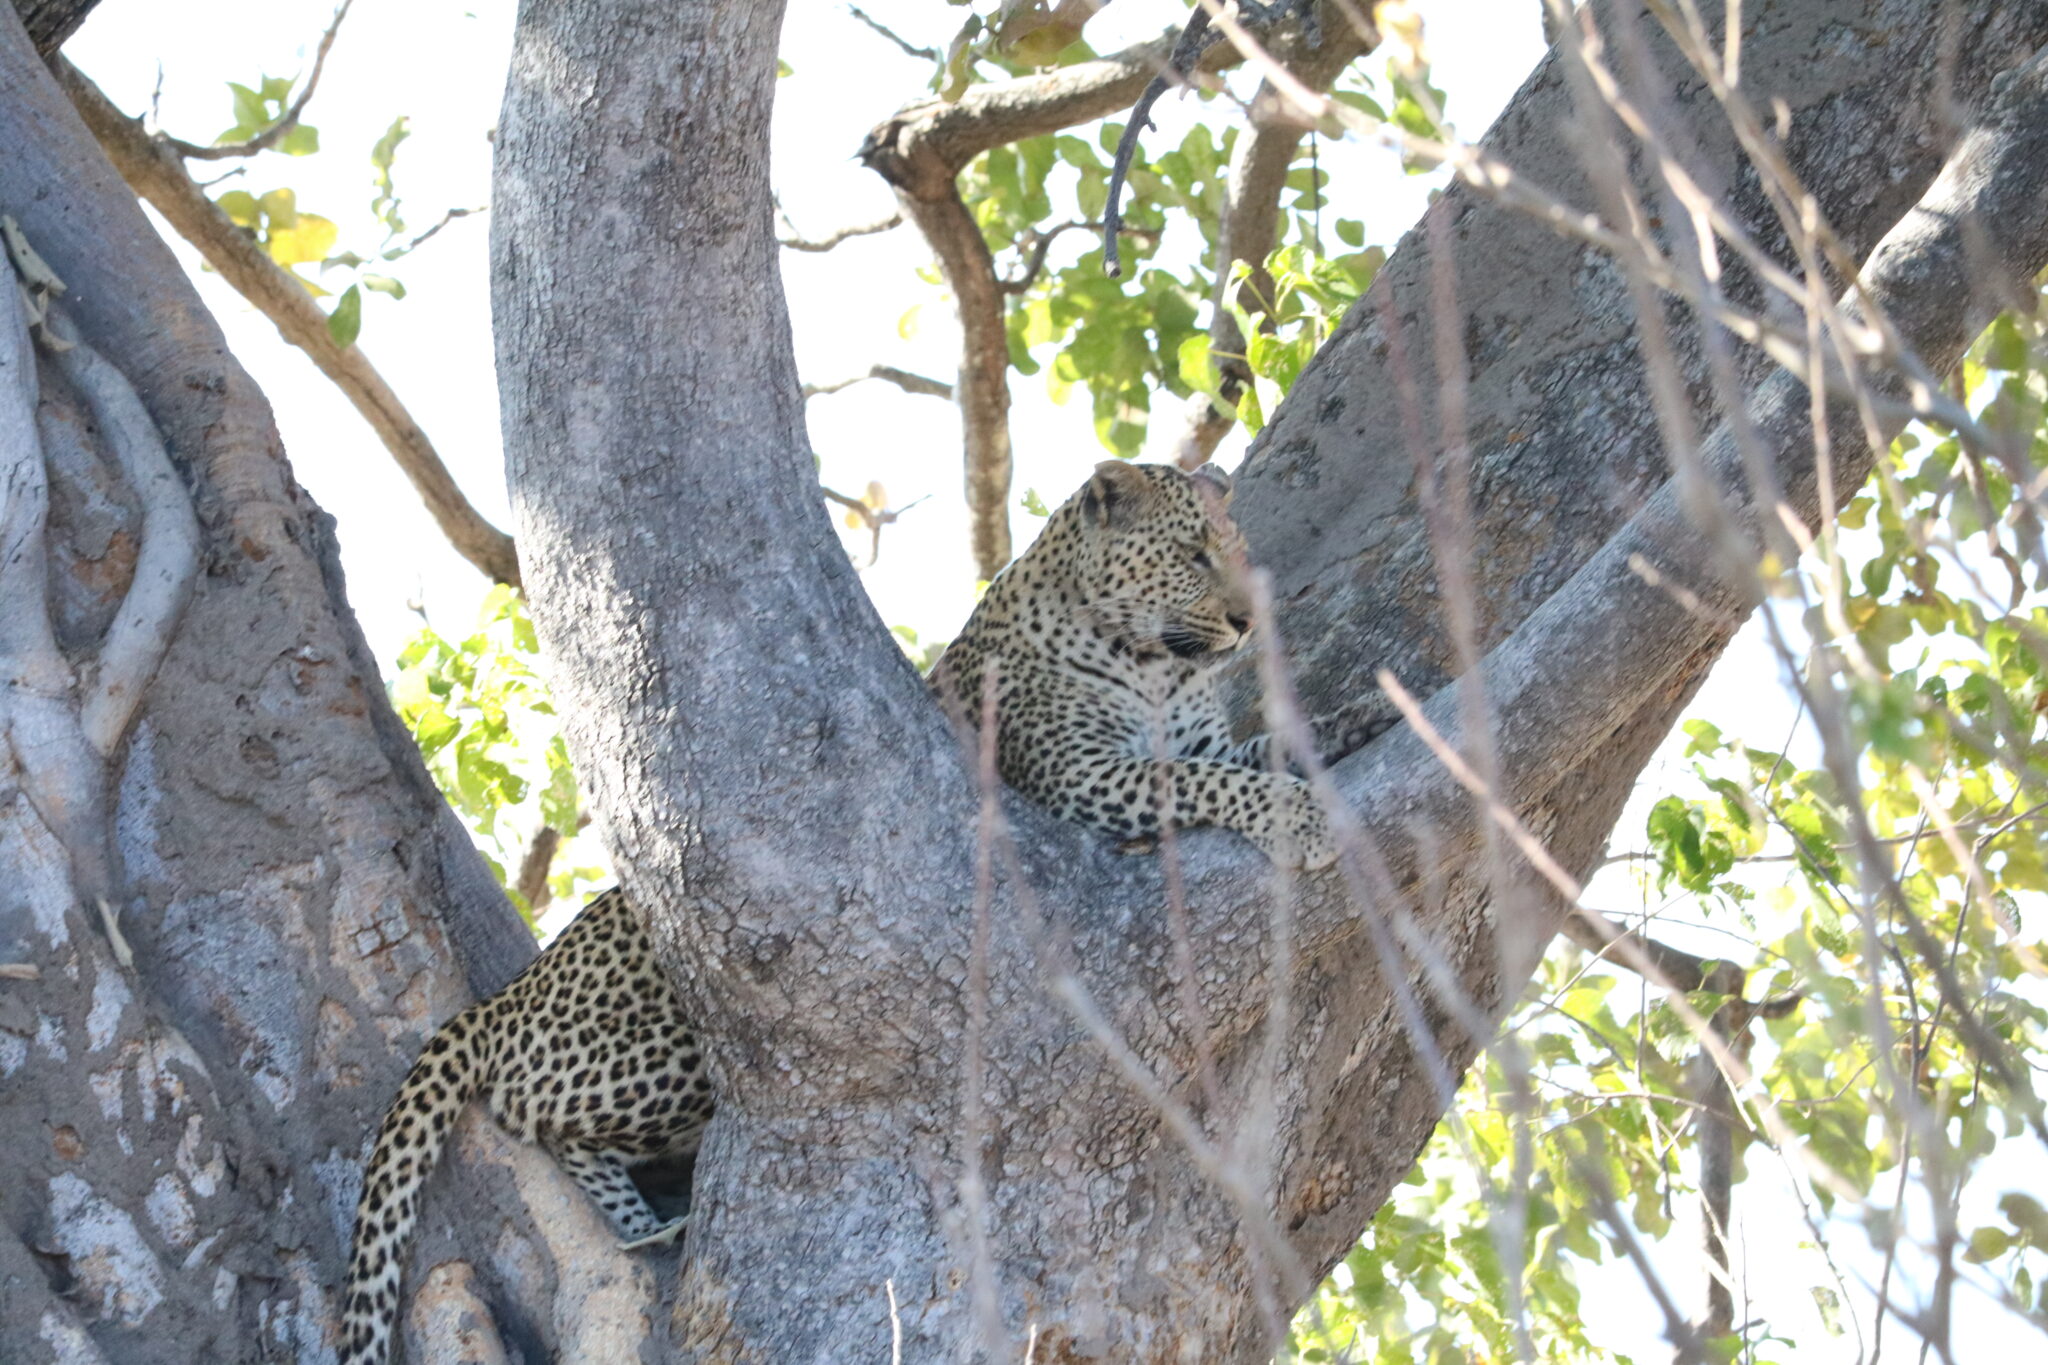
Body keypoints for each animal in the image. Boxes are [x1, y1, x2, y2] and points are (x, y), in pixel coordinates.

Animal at [930, 458, 1335, 870]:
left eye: (1241, 556)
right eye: (1194, 554)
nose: (1250, 622)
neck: (1155, 668)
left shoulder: (1208, 745)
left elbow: (1263, 749)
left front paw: (1339, 724)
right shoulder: (1076, 772)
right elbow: (1199, 776)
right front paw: (1301, 816)